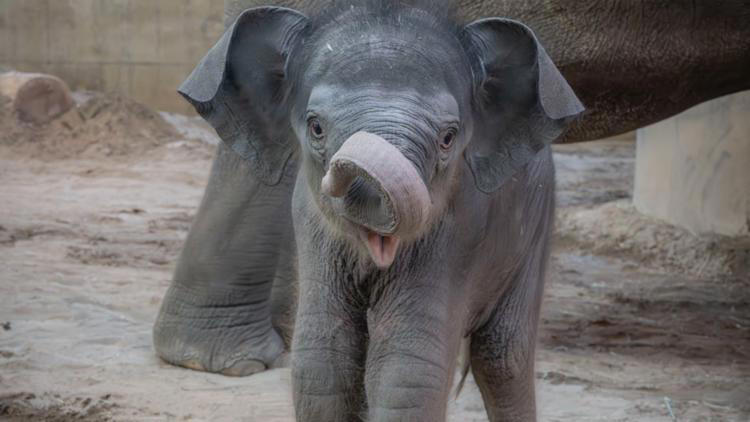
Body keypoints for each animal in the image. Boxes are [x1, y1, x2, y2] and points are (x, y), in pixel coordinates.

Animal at [152, 0, 750, 419]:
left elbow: (409, 365)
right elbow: (324, 363)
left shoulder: (458, 234)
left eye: (448, 138)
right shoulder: (315, 225)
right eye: (316, 127)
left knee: (504, 358)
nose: (355, 177)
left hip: (534, 234)